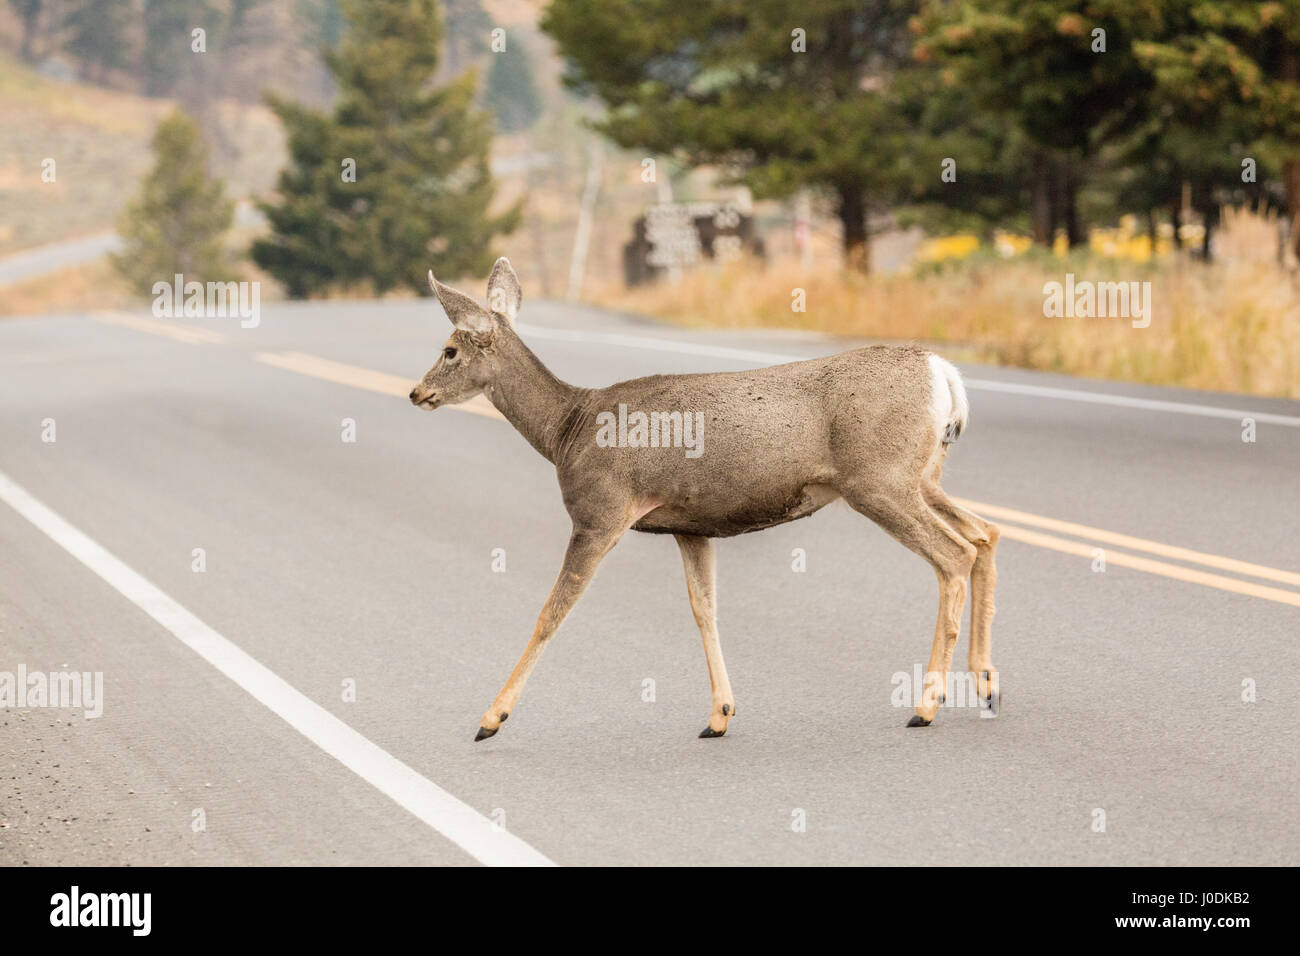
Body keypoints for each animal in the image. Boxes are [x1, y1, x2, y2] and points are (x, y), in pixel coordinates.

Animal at [410, 258, 1000, 742]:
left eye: (449, 350)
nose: (417, 392)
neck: (567, 431)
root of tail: (943, 373)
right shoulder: (691, 526)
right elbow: (704, 609)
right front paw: (719, 715)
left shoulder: (600, 513)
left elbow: (552, 610)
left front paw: (491, 718)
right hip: (921, 477)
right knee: (984, 533)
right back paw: (987, 684)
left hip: (879, 479)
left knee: (955, 554)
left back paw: (927, 705)